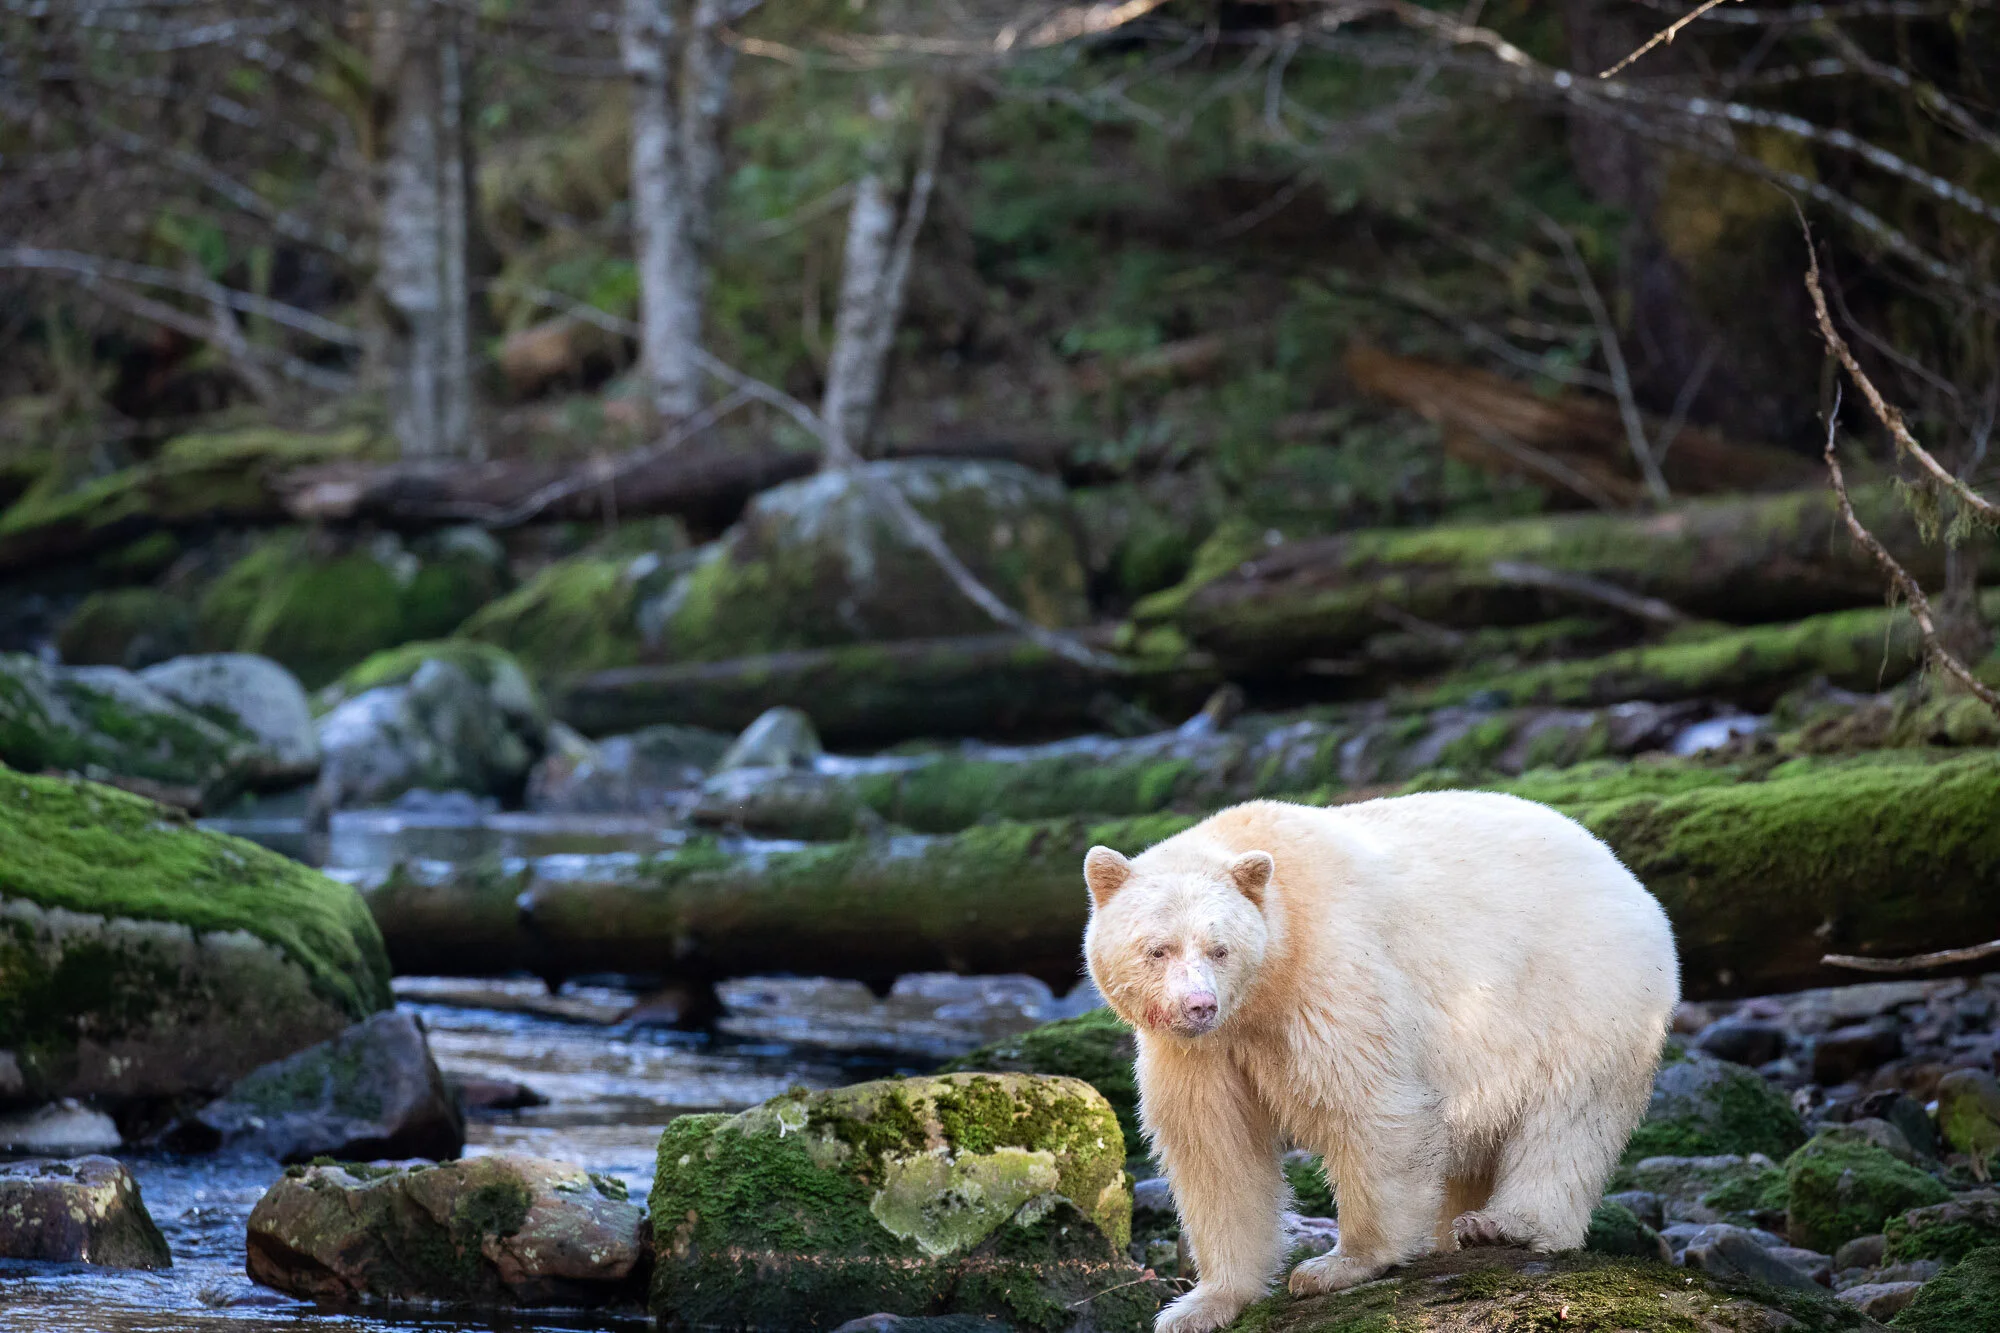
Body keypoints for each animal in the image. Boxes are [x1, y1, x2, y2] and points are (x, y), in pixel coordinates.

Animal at [1081, 793, 1679, 1333]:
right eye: (1157, 949)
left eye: (1219, 948)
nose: (1198, 1005)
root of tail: (1626, 876)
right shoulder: (1200, 1051)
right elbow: (1215, 1147)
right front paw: (1199, 1306)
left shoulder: (1332, 974)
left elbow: (1372, 1105)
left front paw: (1337, 1265)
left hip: (1578, 993)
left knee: (1567, 1119)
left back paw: (1505, 1225)